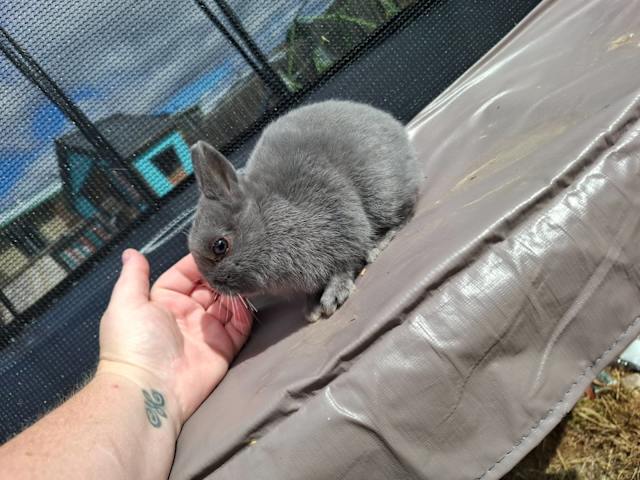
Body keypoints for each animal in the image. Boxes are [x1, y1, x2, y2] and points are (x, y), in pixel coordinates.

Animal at [188, 100, 419, 321]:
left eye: (220, 246)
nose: (214, 285)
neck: (266, 221)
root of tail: (394, 127)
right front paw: (312, 308)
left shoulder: (341, 224)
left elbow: (345, 262)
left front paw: (332, 296)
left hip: (381, 193)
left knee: (405, 210)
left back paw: (379, 244)